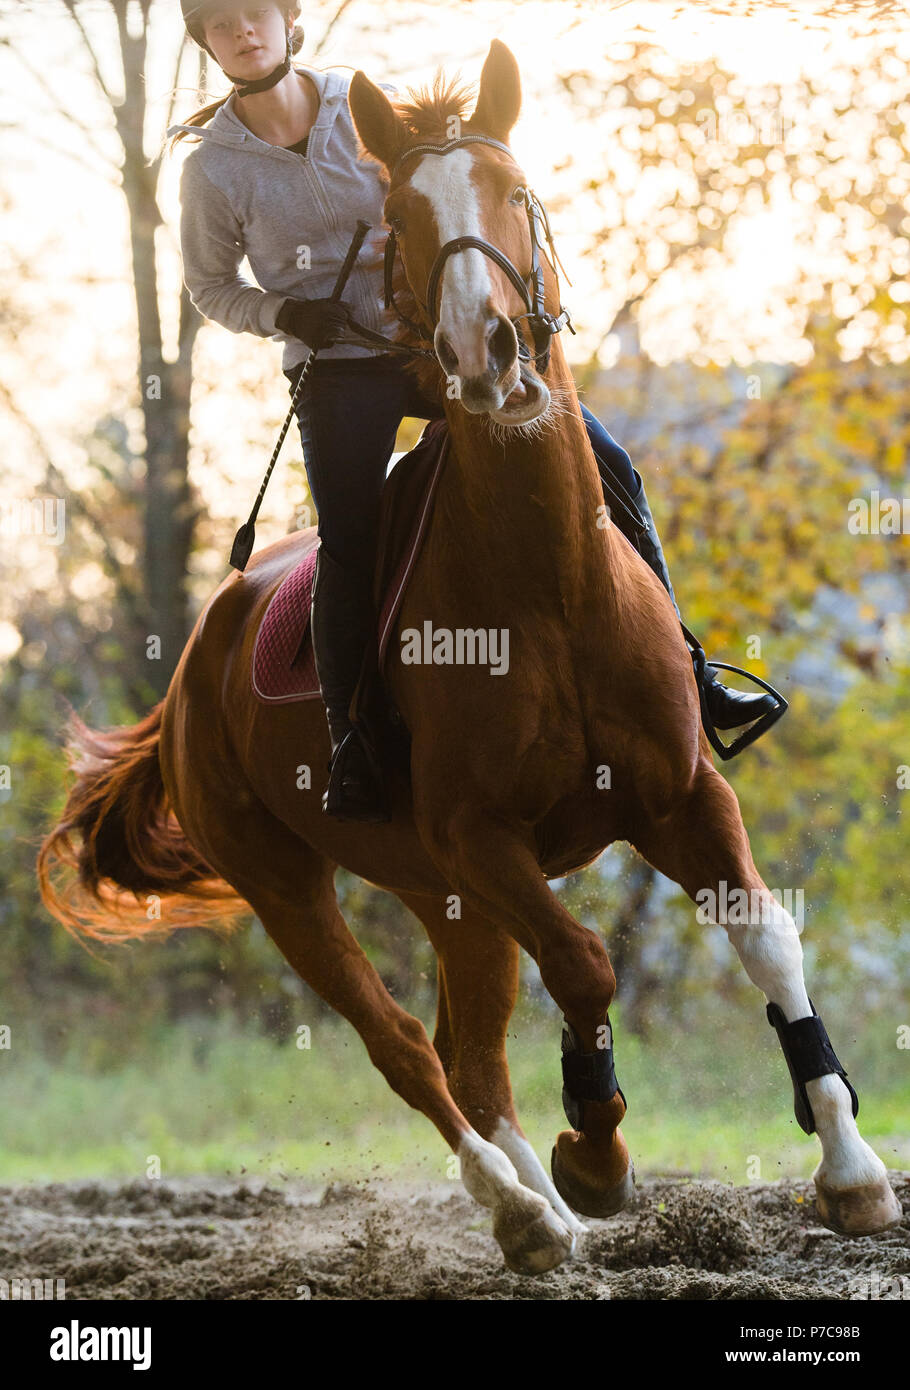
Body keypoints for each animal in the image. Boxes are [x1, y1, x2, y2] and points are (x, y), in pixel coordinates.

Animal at [38, 40, 901, 1275]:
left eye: (516, 191)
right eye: (397, 217)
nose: (485, 353)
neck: (548, 590)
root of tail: (186, 681)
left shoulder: (683, 795)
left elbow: (766, 942)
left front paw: (851, 1171)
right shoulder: (483, 838)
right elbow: (585, 963)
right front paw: (598, 1150)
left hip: (439, 890)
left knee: (469, 1042)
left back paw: (535, 1203)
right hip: (296, 886)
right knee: (407, 1045)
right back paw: (528, 1207)